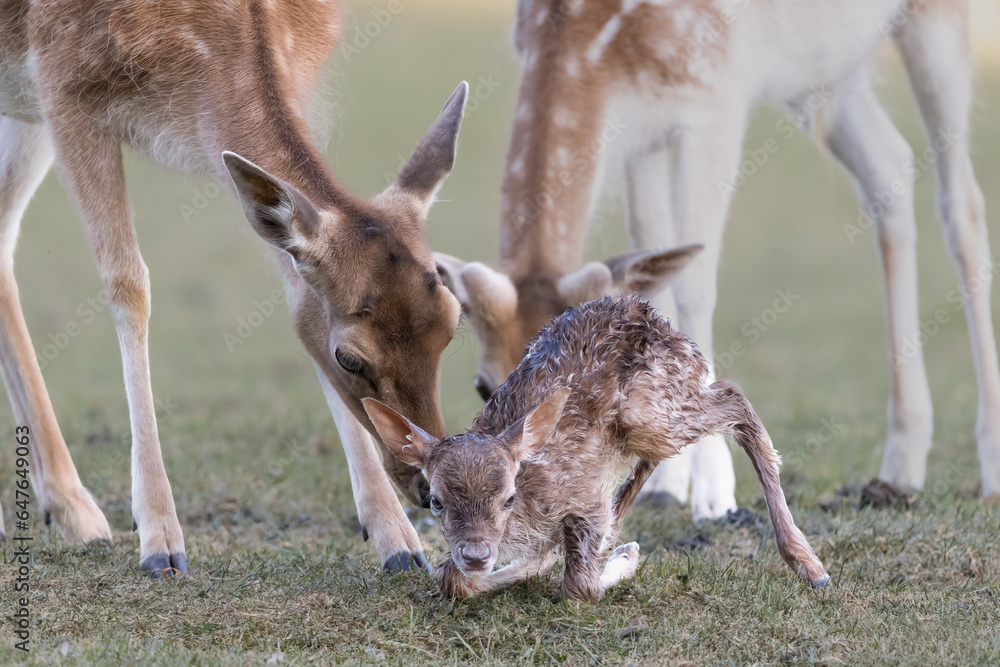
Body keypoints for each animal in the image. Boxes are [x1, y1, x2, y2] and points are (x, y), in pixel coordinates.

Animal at [0, 0, 469, 576]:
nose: (428, 488)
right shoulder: (63, 90)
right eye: (350, 358)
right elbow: (129, 285)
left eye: (452, 324)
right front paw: (160, 541)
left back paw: (71, 510)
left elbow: (295, 291)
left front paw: (397, 541)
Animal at [364, 295, 830, 600]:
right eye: (436, 501)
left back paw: (810, 566)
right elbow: (454, 579)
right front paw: (543, 562)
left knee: (733, 396)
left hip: (650, 415)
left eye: (507, 498)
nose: (477, 553)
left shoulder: (582, 499)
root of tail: (666, 326)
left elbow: (581, 587)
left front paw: (621, 560)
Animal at [434, 0, 1000, 523]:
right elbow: (652, 266)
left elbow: (695, 284)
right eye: (483, 386)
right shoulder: (638, 132)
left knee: (962, 203)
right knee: (890, 168)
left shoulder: (716, 93)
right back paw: (901, 464)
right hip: (824, 72)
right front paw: (667, 484)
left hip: (935, 24)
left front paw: (714, 492)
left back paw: (989, 465)